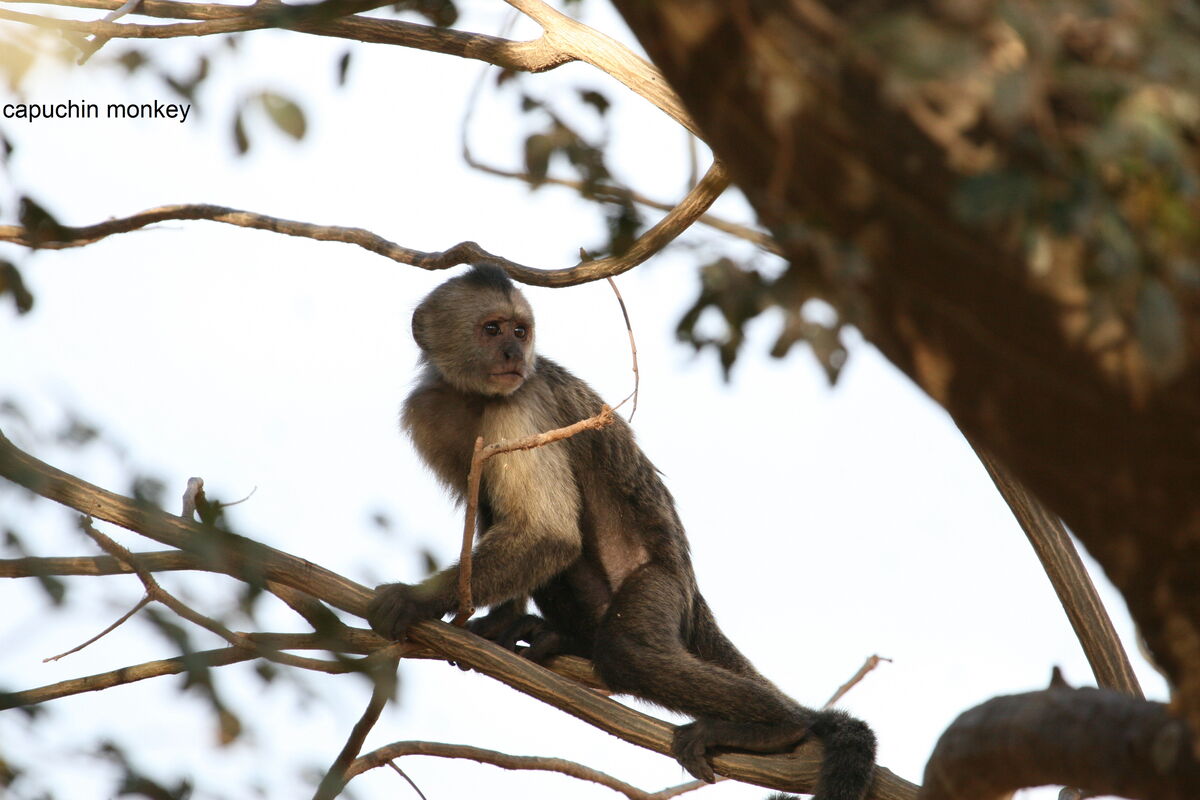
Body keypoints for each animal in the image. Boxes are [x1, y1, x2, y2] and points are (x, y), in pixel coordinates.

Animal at [369, 265, 876, 800]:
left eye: (520, 332)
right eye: (492, 330)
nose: (512, 354)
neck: (474, 397)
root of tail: (690, 589)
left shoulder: (521, 401)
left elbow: (547, 533)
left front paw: (416, 599)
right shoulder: (428, 412)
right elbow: (498, 517)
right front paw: (498, 619)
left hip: (662, 587)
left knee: (628, 652)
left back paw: (779, 727)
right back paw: (571, 641)